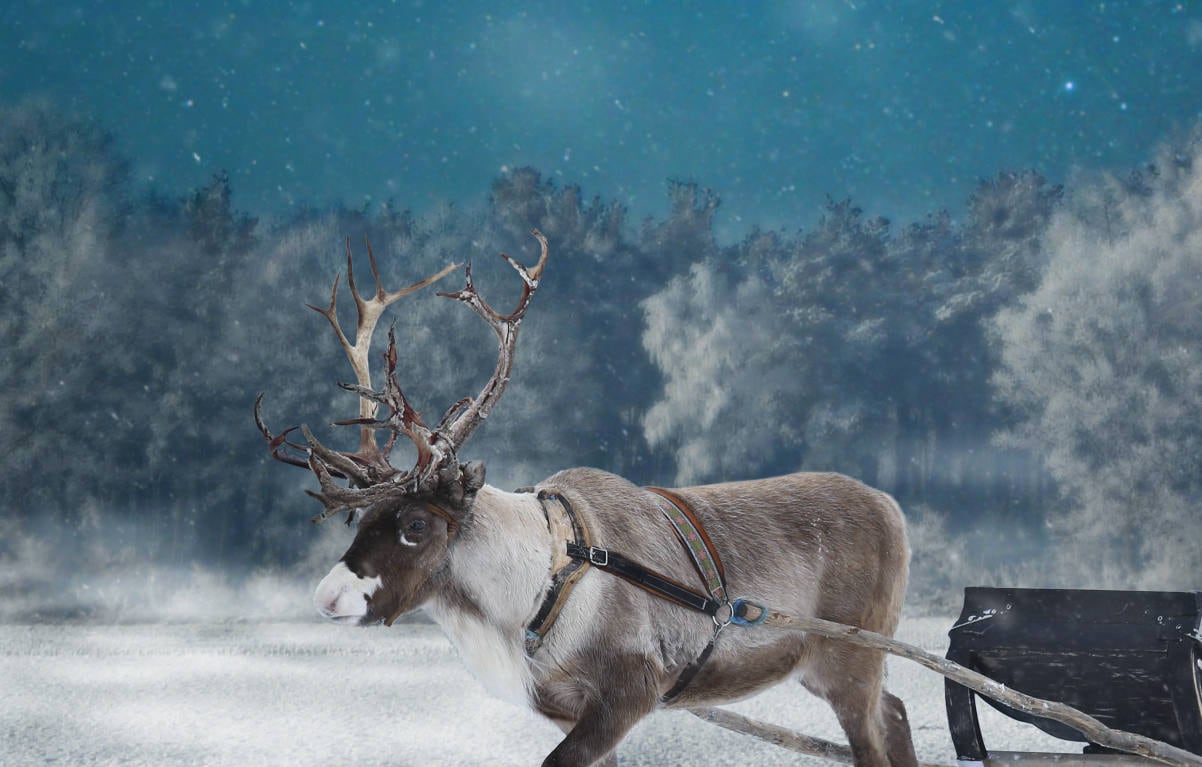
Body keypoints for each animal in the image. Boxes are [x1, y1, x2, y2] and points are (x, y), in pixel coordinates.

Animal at [255, 229, 918, 767]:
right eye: (361, 516)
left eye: (416, 524)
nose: (327, 596)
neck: (528, 596)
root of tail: (893, 508)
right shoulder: (569, 709)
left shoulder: (629, 693)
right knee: (897, 710)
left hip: (849, 659)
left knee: (873, 736)